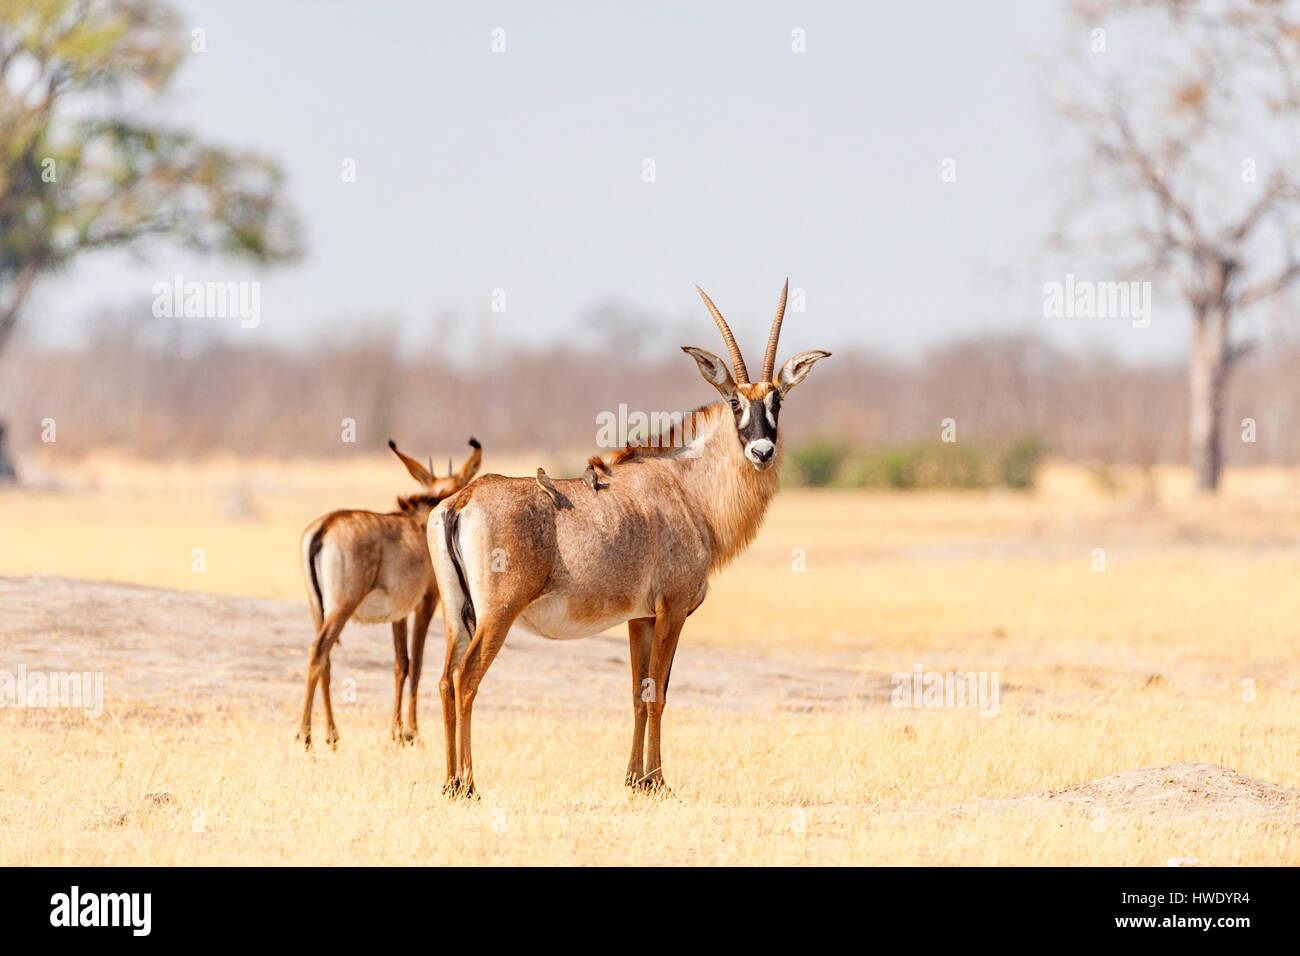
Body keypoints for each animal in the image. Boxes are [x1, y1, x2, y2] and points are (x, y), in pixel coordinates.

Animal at [296, 437, 482, 748]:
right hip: (341, 608)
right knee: (317, 652)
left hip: (317, 609)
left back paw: (332, 734)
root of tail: (324, 527)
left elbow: (400, 664)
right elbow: (417, 663)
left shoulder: (398, 614)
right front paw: (412, 732)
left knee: (326, 660)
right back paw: (306, 734)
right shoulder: (427, 602)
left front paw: (396, 731)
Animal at [429, 281, 829, 796]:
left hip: (458, 616)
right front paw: (658, 782)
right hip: (496, 614)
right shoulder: (672, 609)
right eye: (735, 402)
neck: (686, 487)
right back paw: (468, 785)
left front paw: (634, 779)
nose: (762, 451)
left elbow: (638, 692)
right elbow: (658, 692)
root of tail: (462, 501)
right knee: (466, 678)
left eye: (777, 402)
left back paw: (448, 782)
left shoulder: (640, 617)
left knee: (444, 680)